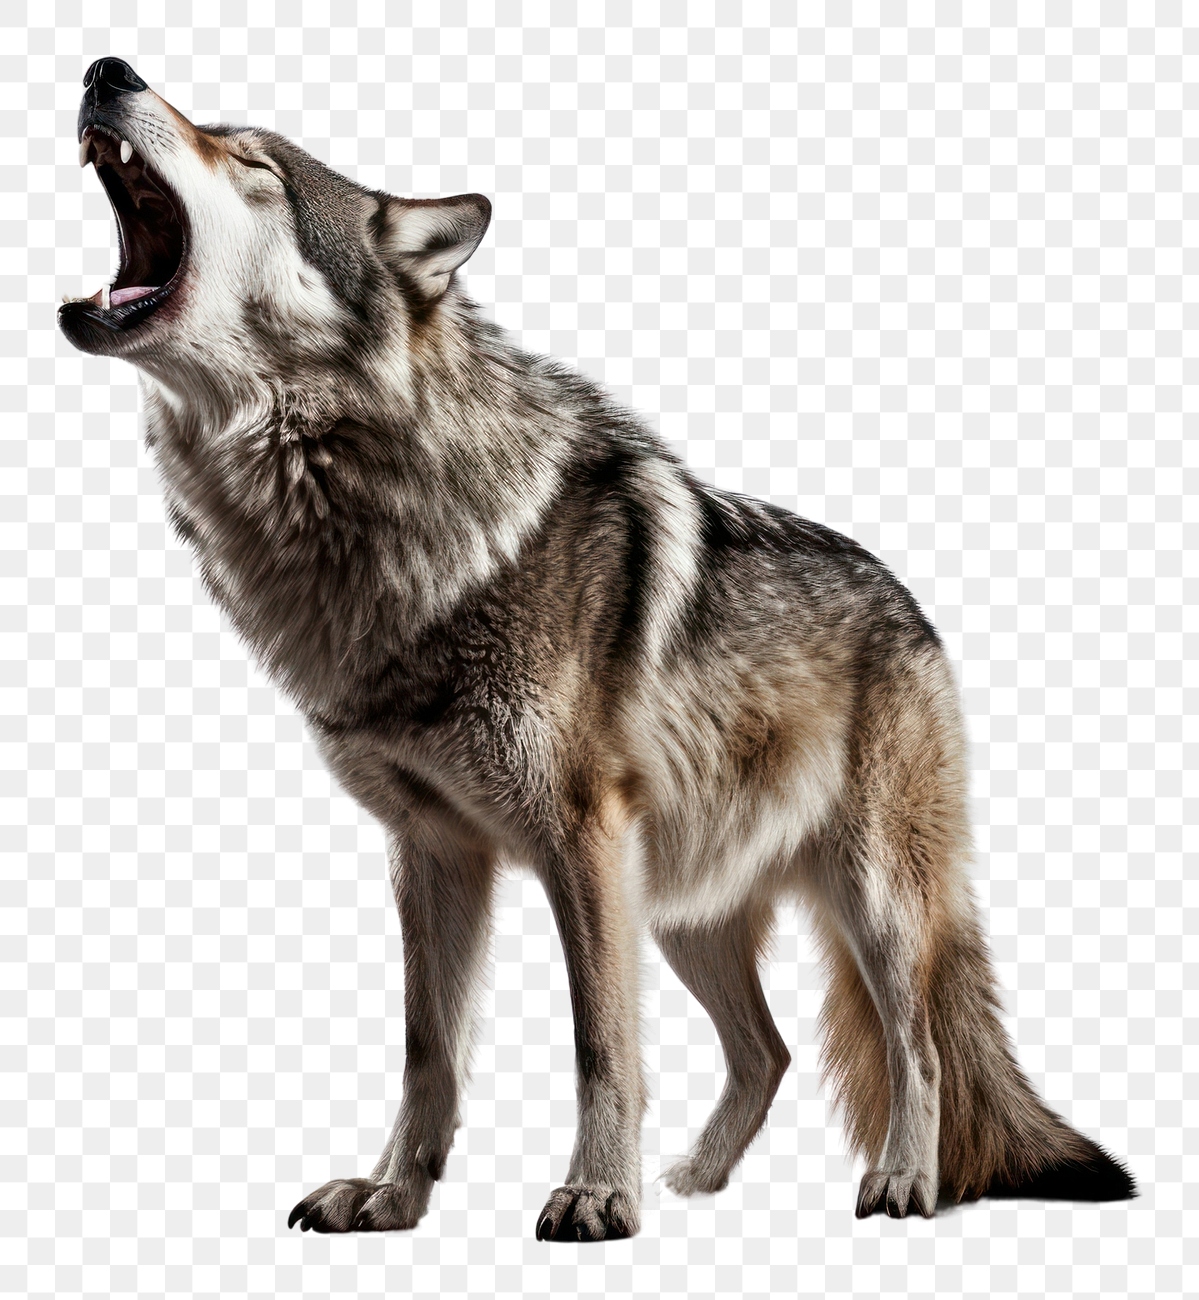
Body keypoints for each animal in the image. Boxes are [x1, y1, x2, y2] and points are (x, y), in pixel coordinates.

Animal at [59, 58, 1136, 1240]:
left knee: (918, 1042)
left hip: (868, 902)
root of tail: (913, 609)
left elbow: (598, 1043)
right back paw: (697, 1178)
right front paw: (392, 1195)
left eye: (250, 160)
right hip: (677, 912)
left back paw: (904, 1181)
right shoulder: (433, 852)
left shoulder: (577, 839)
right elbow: (427, 1049)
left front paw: (594, 1195)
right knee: (767, 1049)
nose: (107, 70)